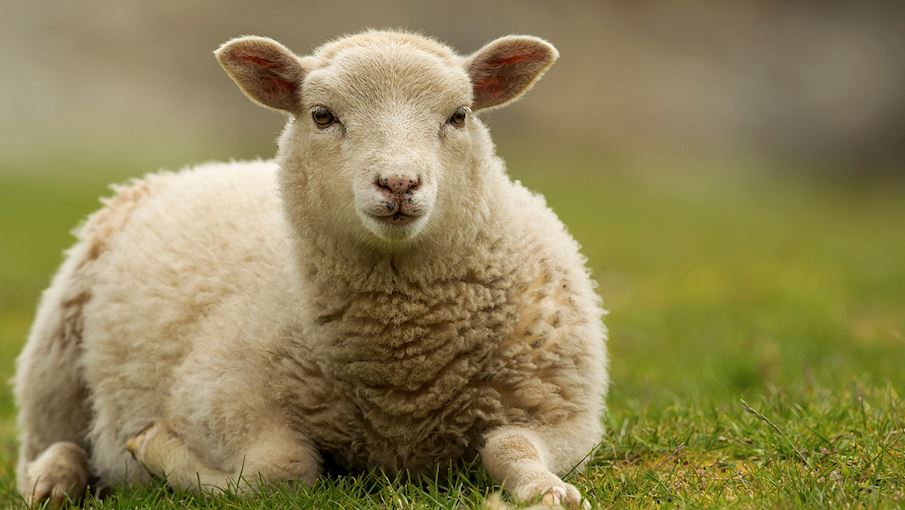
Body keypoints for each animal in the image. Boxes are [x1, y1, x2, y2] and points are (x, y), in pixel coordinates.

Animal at [14, 30, 608, 508]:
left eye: (459, 115)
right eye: (323, 115)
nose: (398, 184)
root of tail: (187, 169)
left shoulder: (564, 413)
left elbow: (511, 445)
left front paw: (546, 490)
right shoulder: (217, 400)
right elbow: (284, 469)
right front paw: (154, 448)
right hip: (55, 351)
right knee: (49, 441)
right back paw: (53, 480)